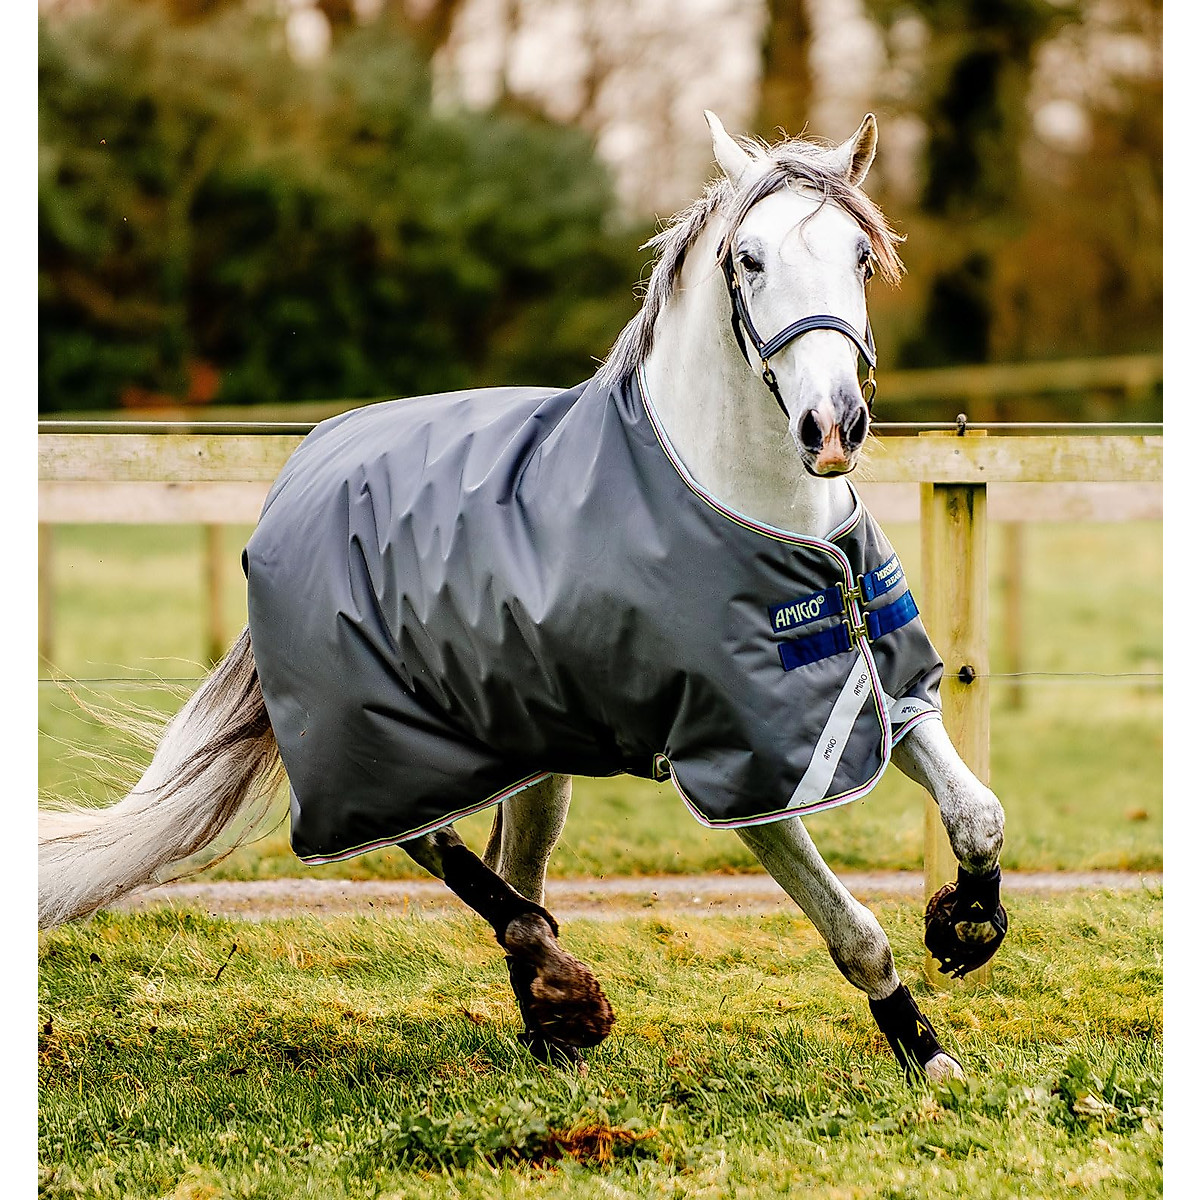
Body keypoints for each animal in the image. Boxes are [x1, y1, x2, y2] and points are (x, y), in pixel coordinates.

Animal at [38, 112, 1008, 1082]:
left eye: (860, 256)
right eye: (750, 259)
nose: (832, 427)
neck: (755, 515)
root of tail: (297, 478)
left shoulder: (878, 692)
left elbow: (979, 817)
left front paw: (966, 924)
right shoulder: (744, 768)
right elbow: (854, 930)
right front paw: (925, 1052)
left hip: (528, 739)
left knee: (518, 861)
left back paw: (548, 1023)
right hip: (378, 741)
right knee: (437, 844)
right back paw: (564, 990)